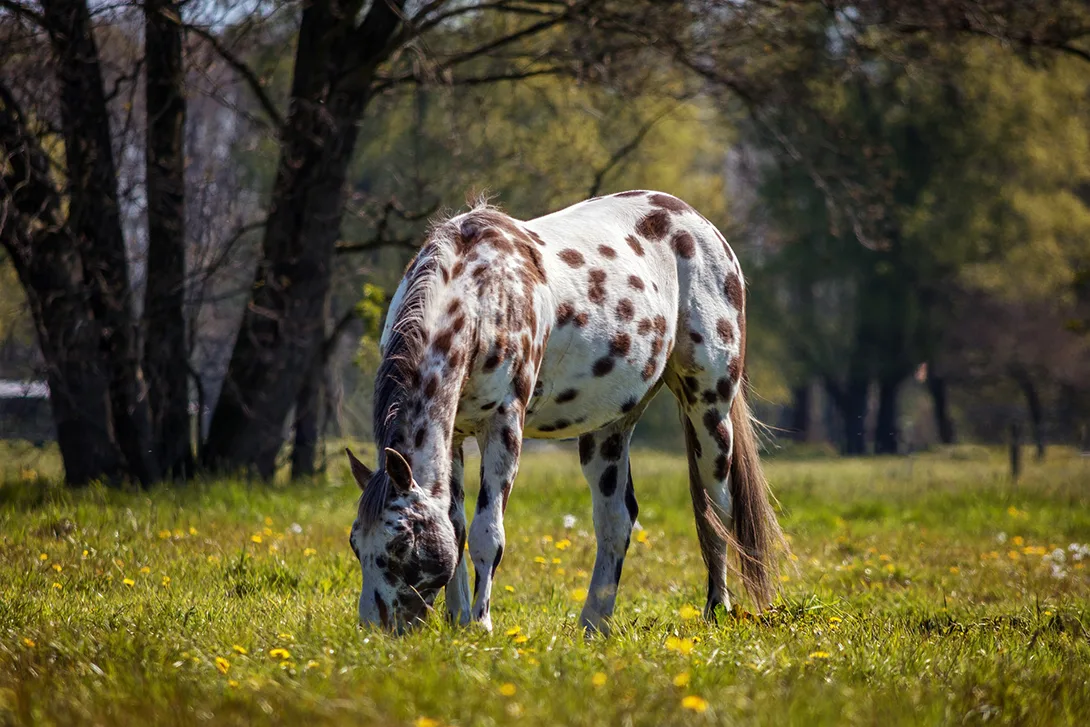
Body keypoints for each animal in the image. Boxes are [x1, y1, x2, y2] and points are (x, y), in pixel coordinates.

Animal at [345, 190, 785, 634]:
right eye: (355, 543)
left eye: (400, 543)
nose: (375, 630)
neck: (482, 294)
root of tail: (699, 223)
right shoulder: (454, 435)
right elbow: (456, 527)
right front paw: (458, 620)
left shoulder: (503, 425)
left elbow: (488, 535)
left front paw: (480, 625)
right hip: (609, 428)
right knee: (615, 521)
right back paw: (594, 624)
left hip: (709, 409)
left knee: (716, 511)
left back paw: (716, 610)